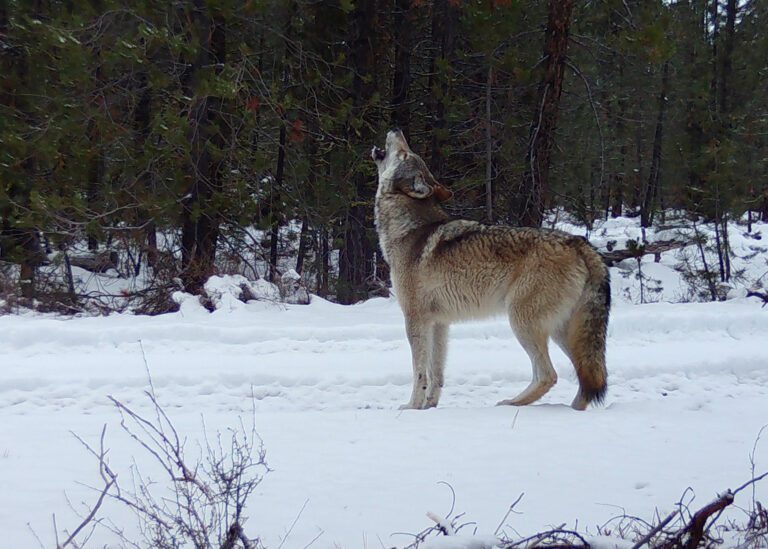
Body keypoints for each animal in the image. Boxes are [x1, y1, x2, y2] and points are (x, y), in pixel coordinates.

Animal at [372, 130, 610, 411]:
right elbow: (436, 373)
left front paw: (411, 407)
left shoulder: (415, 318)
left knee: (548, 375)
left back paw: (511, 403)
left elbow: (420, 372)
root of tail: (579, 242)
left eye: (405, 153)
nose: (396, 130)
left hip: (522, 321)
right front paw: (430, 407)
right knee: (587, 378)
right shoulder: (439, 323)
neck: (407, 230)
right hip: (563, 332)